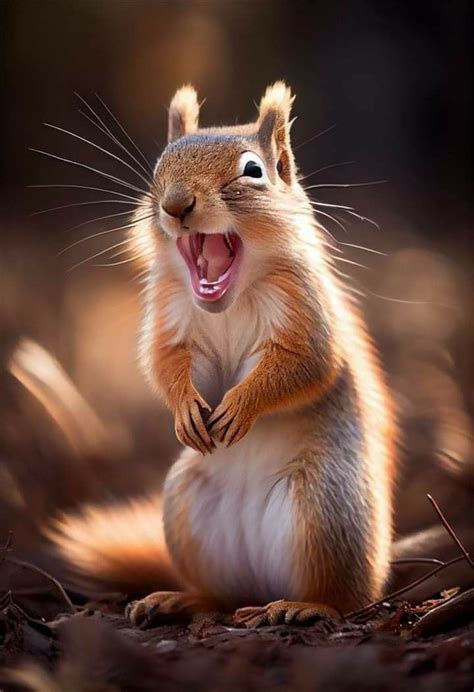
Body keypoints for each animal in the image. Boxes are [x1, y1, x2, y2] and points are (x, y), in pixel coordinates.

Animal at [48, 82, 397, 627]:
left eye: (254, 170)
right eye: (159, 166)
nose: (176, 204)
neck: (229, 300)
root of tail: (262, 584)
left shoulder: (306, 312)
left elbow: (304, 366)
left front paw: (241, 405)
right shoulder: (171, 316)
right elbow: (164, 364)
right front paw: (187, 410)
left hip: (324, 509)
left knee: (343, 598)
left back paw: (302, 605)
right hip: (185, 507)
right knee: (220, 594)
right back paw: (182, 599)